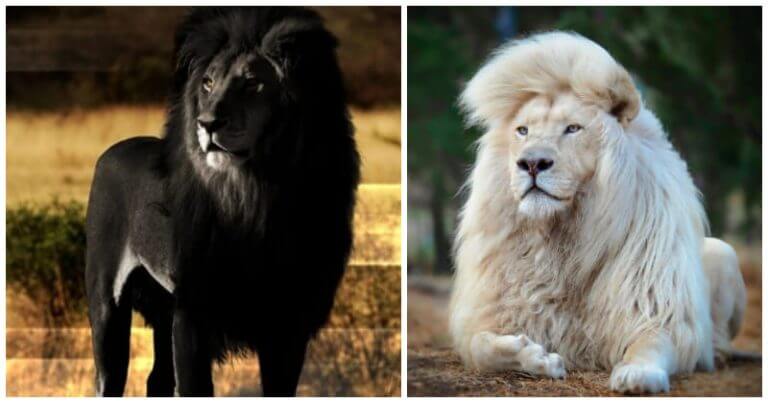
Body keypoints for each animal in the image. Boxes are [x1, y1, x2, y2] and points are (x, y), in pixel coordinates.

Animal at [450, 31, 751, 394]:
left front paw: (637, 375)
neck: (562, 238)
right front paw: (537, 359)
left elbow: (650, 344)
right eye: (522, 130)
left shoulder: (659, 312)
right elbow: (479, 347)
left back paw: (716, 355)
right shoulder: (493, 314)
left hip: (724, 252)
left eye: (573, 128)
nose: (532, 163)